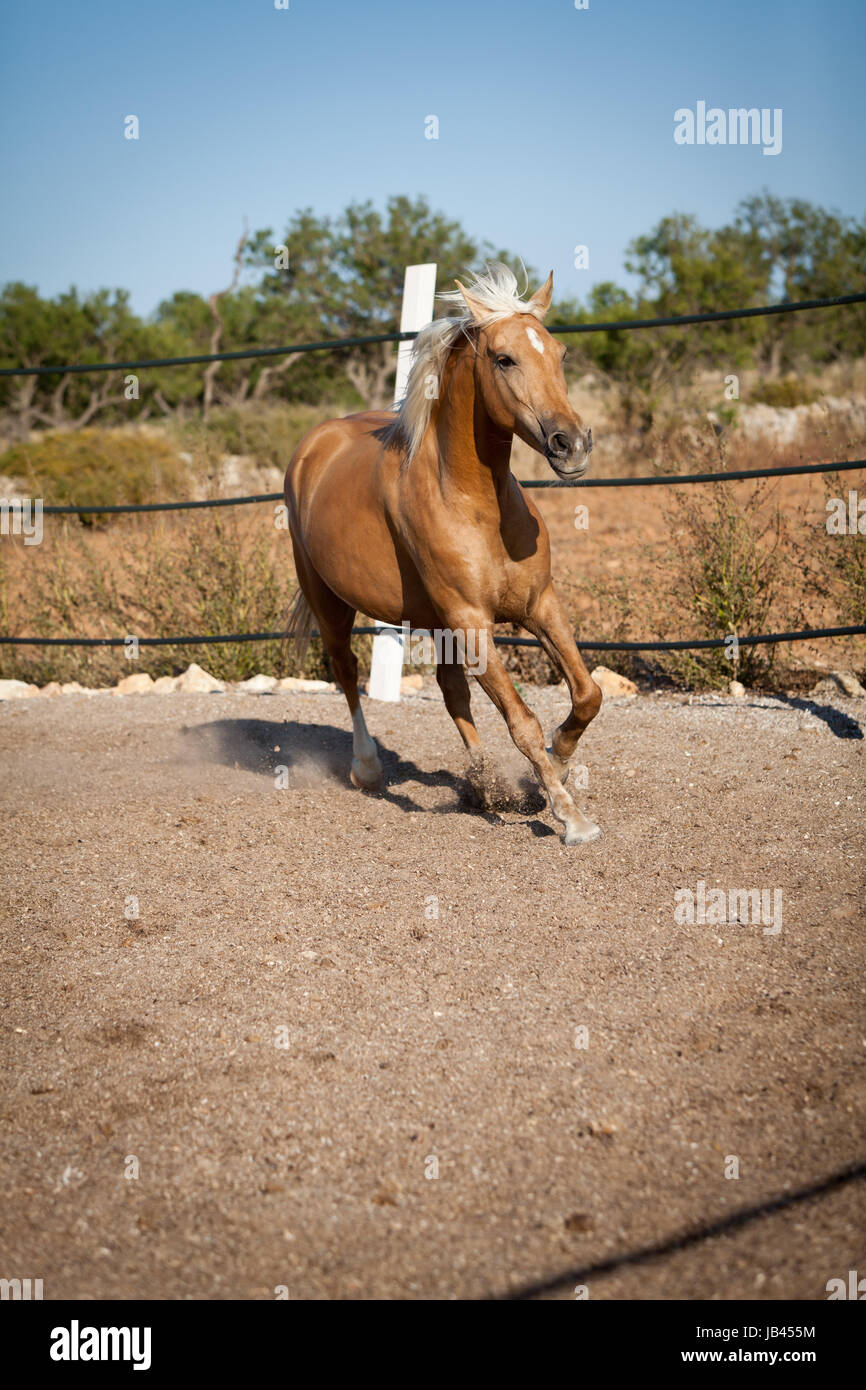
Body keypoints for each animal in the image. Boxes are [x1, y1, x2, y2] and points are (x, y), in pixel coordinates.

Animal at [284, 263, 602, 846]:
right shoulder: (473, 621)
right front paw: (571, 817)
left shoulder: (539, 605)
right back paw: (368, 770)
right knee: (346, 673)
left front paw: (557, 764)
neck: (474, 502)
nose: (571, 444)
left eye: (560, 353)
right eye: (504, 359)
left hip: (434, 620)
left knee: (453, 692)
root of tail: (315, 444)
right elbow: (522, 722)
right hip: (330, 603)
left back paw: (483, 786)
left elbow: (586, 695)